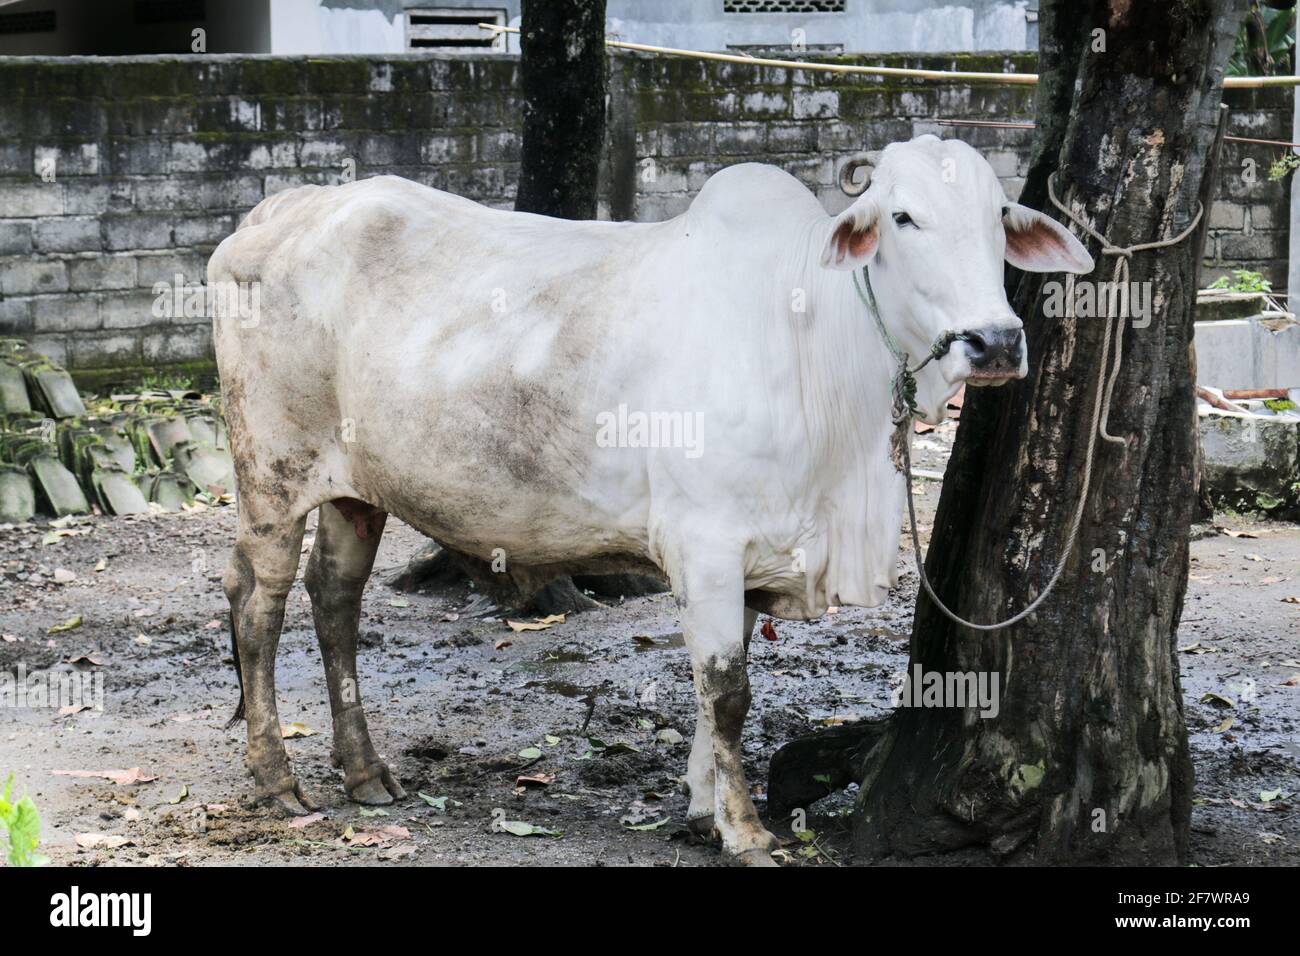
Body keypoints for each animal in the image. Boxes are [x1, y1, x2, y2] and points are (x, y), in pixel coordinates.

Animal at [209, 135, 1092, 865]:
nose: (996, 342)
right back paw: (276, 777)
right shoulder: (707, 542)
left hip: (354, 491)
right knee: (258, 602)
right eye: (904, 217)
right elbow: (728, 692)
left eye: (997, 219)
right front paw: (745, 829)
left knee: (335, 600)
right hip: (272, 475)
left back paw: (365, 770)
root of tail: (274, 212)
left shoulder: (745, 559)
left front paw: (702, 807)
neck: (812, 338)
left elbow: (717, 689)